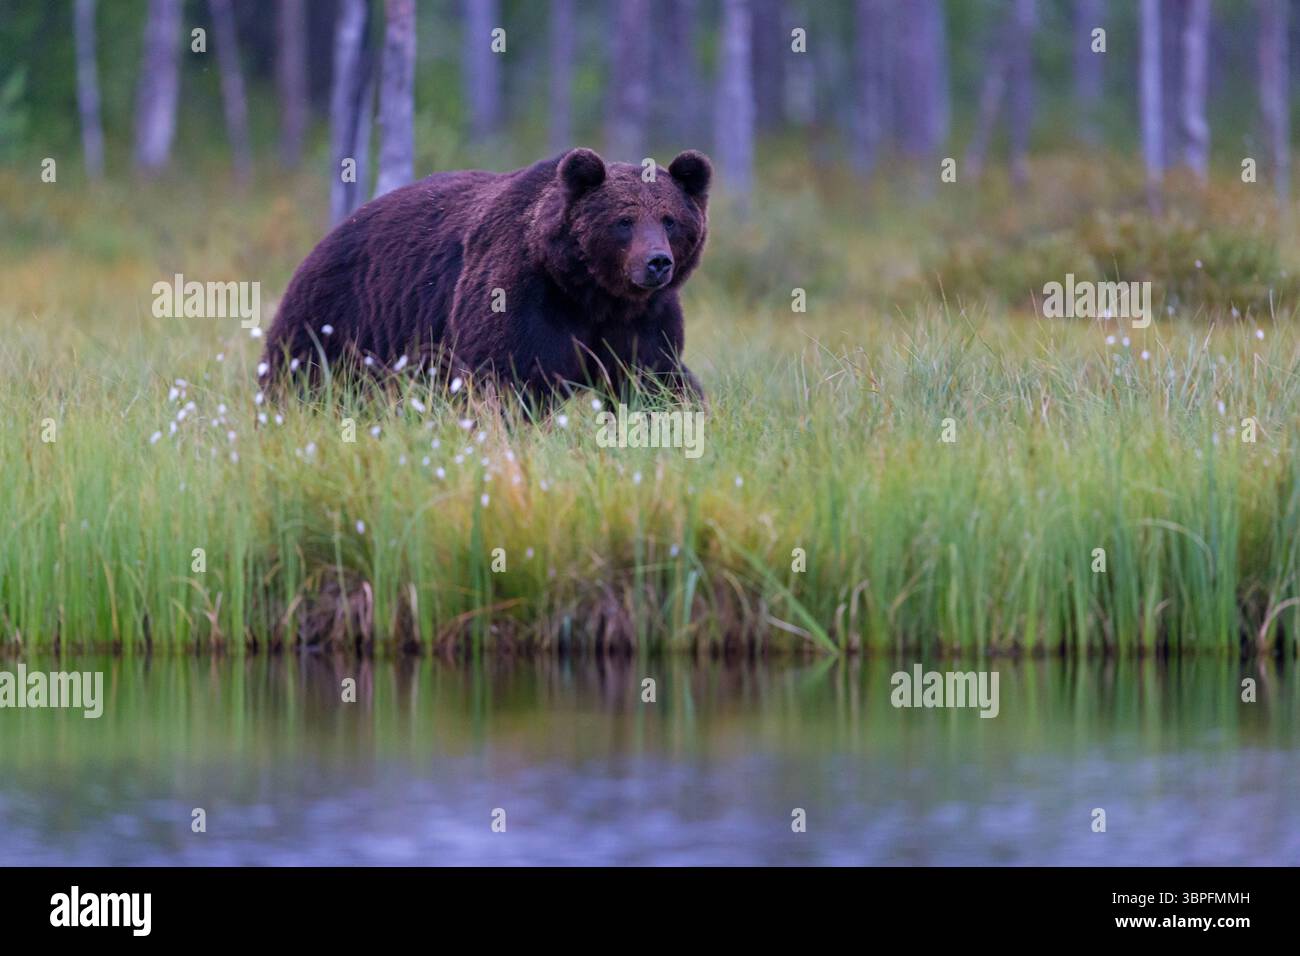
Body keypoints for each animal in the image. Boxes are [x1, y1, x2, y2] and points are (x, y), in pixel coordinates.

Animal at [260, 147, 711, 406]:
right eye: (624, 221)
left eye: (670, 220)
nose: (657, 262)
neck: (588, 292)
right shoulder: (523, 296)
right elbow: (508, 380)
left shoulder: (643, 320)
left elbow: (656, 379)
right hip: (339, 320)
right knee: (302, 379)